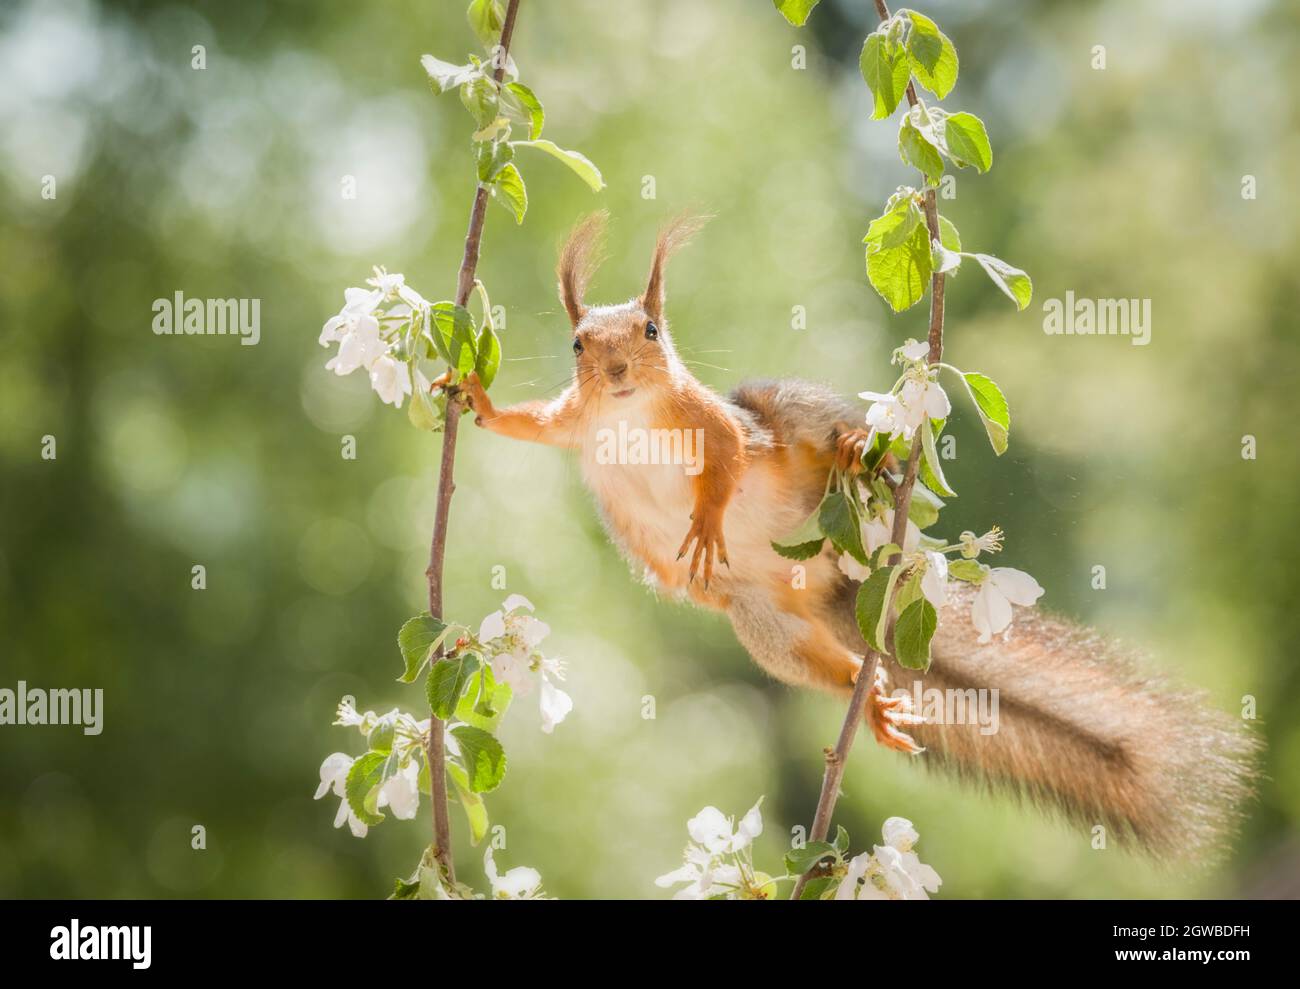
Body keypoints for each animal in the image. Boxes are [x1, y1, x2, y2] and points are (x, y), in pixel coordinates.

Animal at [460, 212, 1258, 859]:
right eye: (577, 343)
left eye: (653, 330)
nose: (619, 369)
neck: (628, 414)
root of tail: (833, 586)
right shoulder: (577, 422)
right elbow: (532, 425)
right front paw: (475, 399)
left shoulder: (712, 420)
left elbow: (726, 453)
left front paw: (708, 518)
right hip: (765, 626)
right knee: (825, 663)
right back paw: (865, 696)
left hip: (789, 417)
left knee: (816, 441)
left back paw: (848, 453)